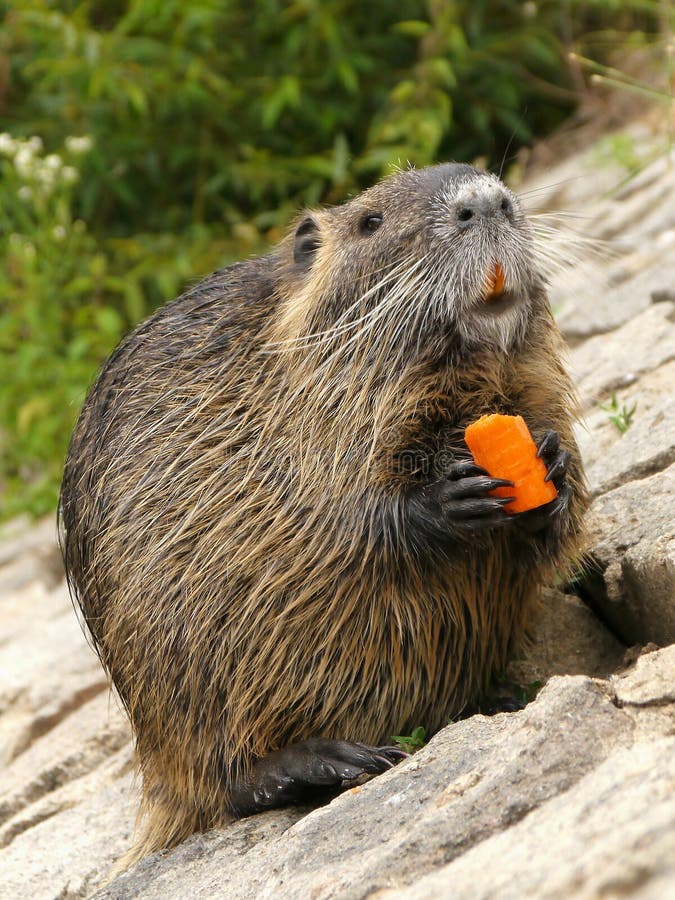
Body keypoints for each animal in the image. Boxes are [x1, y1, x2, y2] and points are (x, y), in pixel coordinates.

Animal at [59, 163, 588, 863]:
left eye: (490, 178)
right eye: (370, 220)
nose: (485, 199)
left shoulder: (534, 385)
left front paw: (550, 468)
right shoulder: (294, 431)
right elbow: (343, 517)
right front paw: (452, 498)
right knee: (228, 781)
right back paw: (336, 760)